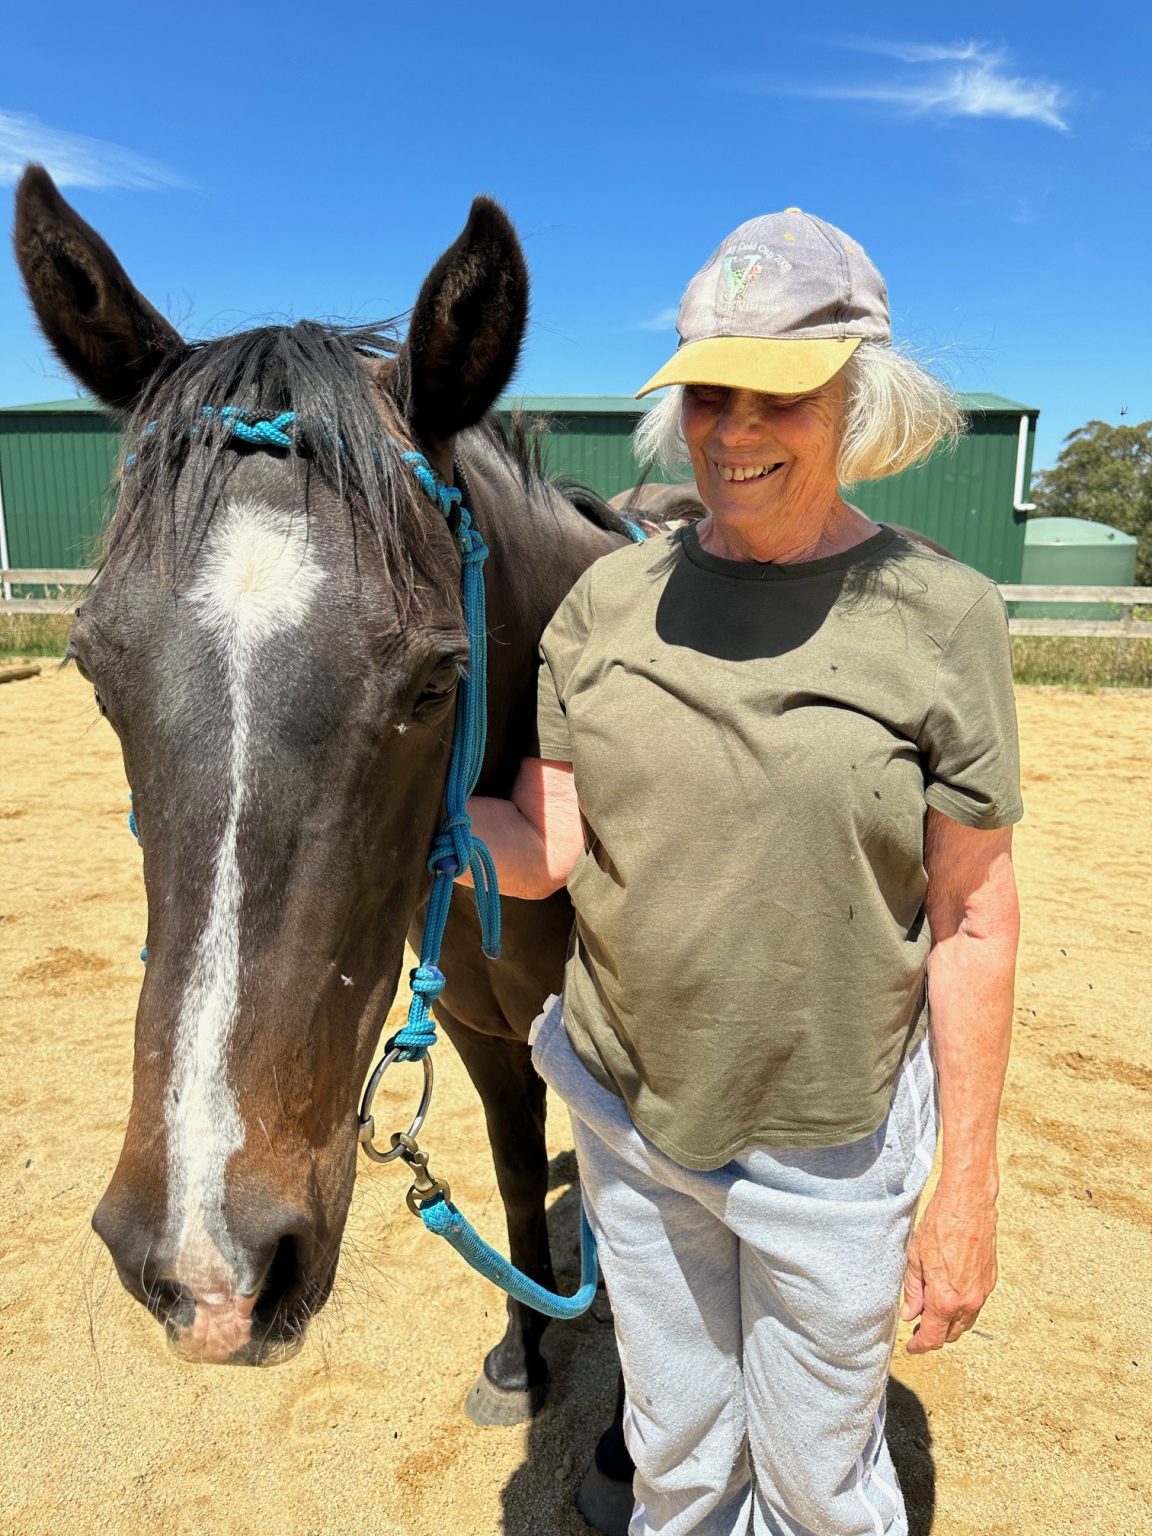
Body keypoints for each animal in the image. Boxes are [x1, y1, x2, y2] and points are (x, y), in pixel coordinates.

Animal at [14, 164, 639, 1528]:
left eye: (435, 681)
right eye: (93, 673)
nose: (208, 1272)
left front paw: (624, 1452)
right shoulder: (484, 1033)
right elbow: (518, 1188)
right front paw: (520, 1361)